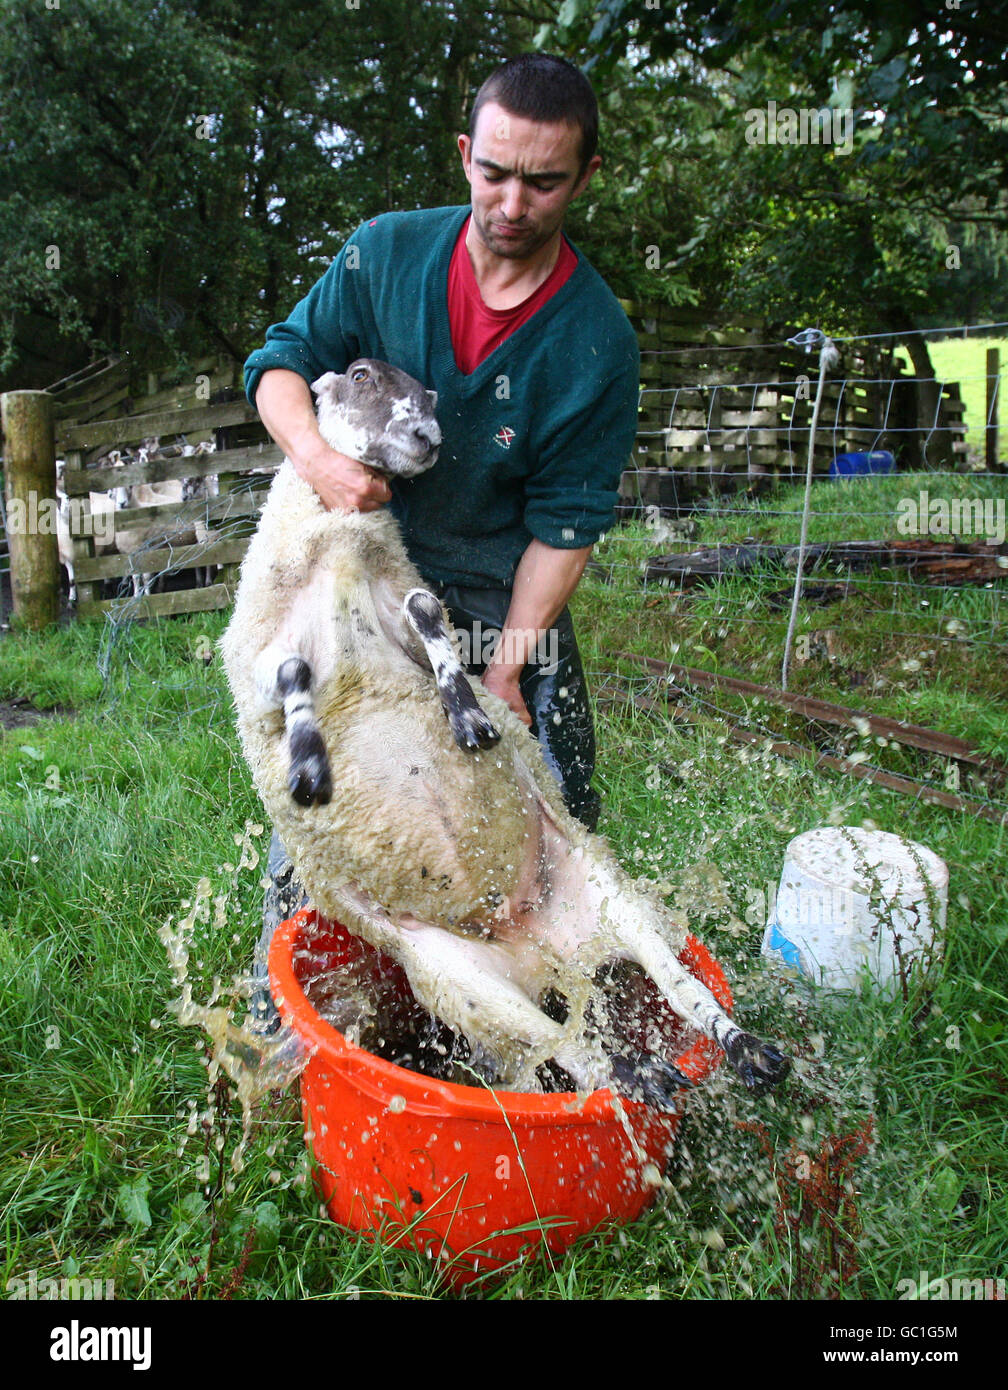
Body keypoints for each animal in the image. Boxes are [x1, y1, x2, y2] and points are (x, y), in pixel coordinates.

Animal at [219, 359, 790, 1105]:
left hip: (604, 891)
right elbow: (294, 670)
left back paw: (744, 1052)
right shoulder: (256, 665)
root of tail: (534, 947)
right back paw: (646, 1075)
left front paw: (467, 716)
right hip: (458, 978)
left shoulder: (396, 599)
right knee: (567, 1045)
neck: (339, 544)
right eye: (362, 375)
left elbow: (427, 611)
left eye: (429, 395)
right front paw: (309, 769)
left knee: (668, 990)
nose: (428, 437)